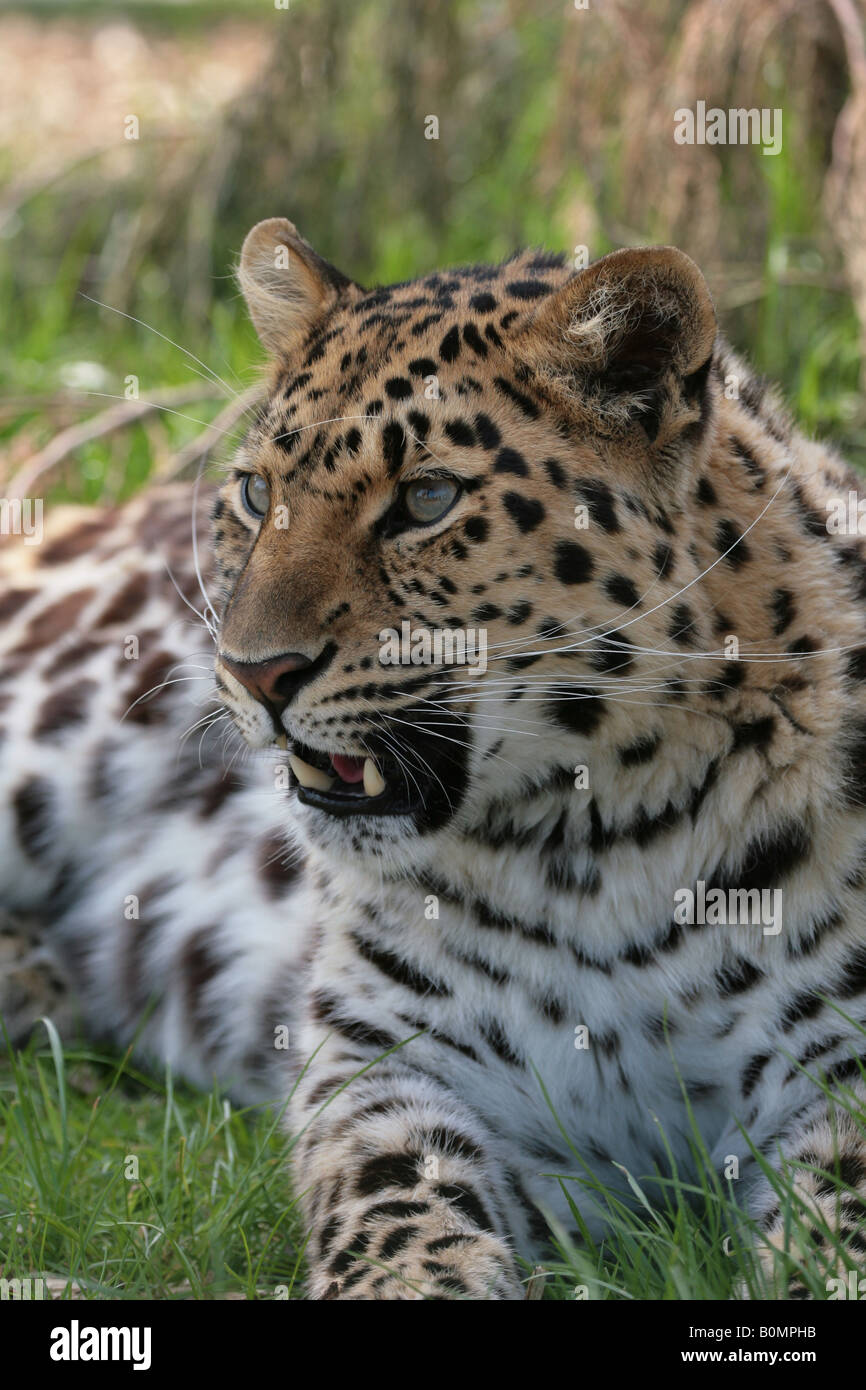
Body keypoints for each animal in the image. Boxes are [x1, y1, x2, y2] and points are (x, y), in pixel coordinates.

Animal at [3, 216, 866, 1301]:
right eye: (255, 491)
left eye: (425, 500)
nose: (249, 671)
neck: (602, 845)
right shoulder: (390, 1062)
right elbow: (393, 1202)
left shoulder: (843, 1070)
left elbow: (840, 1237)